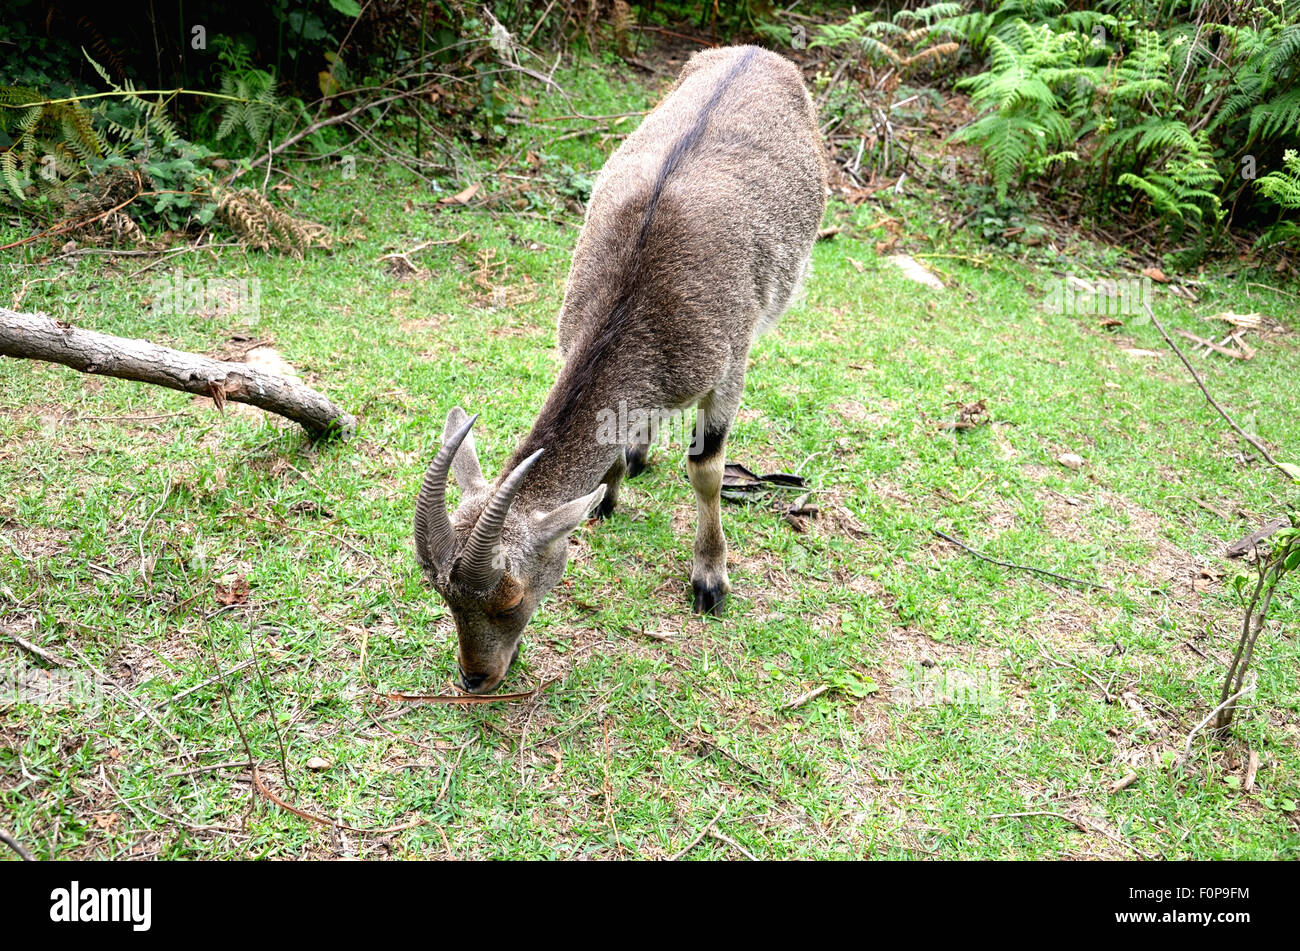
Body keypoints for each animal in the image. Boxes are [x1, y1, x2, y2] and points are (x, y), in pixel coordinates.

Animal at [414, 45, 827, 693]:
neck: (635, 291)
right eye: (443, 595)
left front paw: (710, 579)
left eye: (510, 598)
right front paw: (607, 491)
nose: (475, 677)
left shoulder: (726, 368)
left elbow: (707, 471)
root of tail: (753, 51)